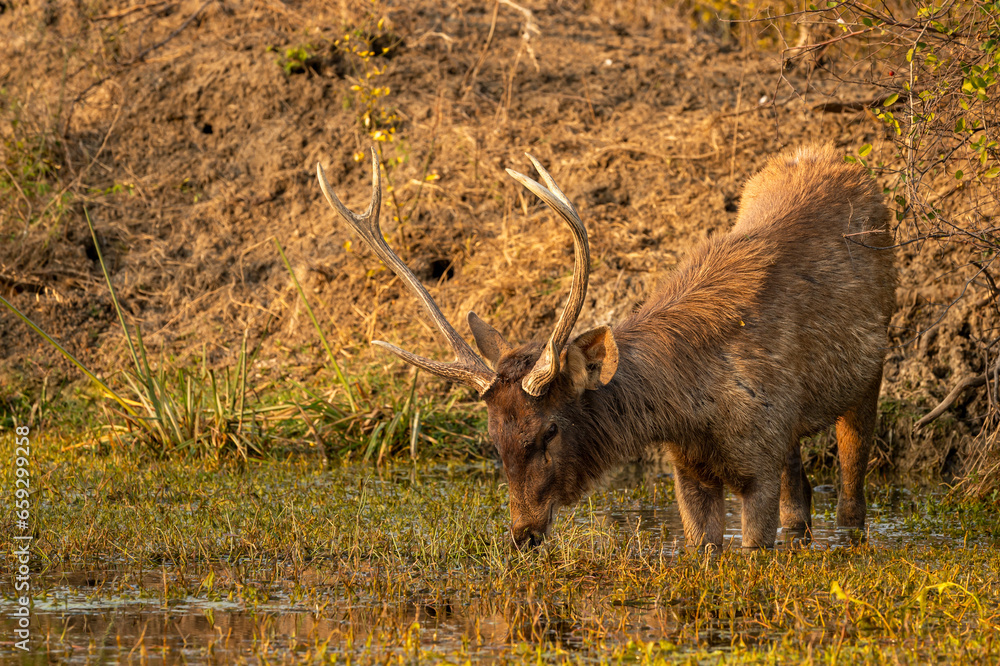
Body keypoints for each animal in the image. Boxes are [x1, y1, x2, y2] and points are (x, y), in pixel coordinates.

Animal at [317, 144, 896, 550]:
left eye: (549, 430)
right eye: (492, 441)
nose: (523, 534)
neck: (697, 410)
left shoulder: (756, 462)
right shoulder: (689, 469)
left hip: (871, 369)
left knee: (851, 495)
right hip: (794, 432)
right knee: (802, 501)